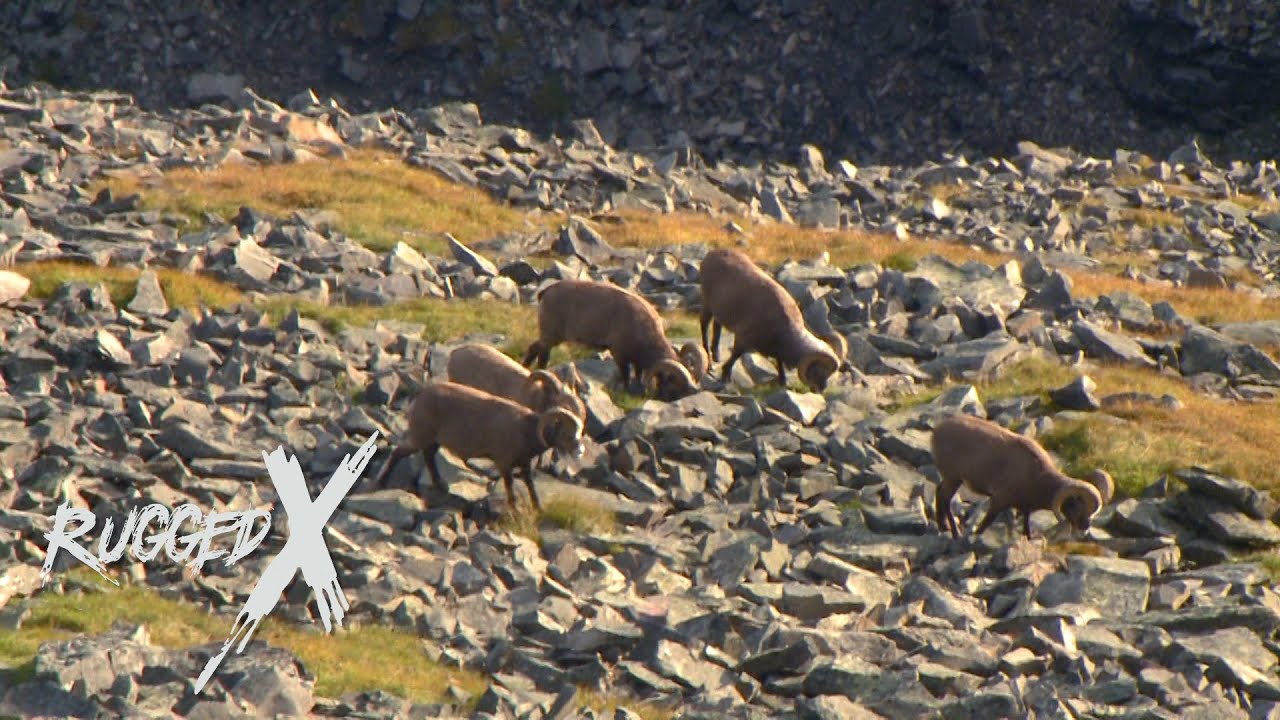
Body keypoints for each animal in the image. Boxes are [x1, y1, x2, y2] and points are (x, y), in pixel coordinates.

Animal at [375, 381, 585, 510]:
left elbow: (531, 486)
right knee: (399, 453)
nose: (580, 451)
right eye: (567, 434)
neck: (526, 429)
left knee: (428, 456)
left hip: (433, 442)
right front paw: (515, 510)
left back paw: (440, 486)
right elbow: (510, 487)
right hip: (420, 438)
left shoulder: (524, 465)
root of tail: (421, 395)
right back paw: (381, 483)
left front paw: (538, 508)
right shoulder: (504, 464)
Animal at [521, 279, 698, 401]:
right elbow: (625, 375)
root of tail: (545, 292)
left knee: (534, 348)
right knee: (542, 354)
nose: (691, 394)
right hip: (550, 336)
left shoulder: (636, 360)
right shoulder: (619, 353)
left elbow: (638, 374)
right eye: (675, 382)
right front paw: (627, 391)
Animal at [699, 248, 845, 391]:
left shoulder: (775, 349)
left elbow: (779, 362)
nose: (822, 389)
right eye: (820, 370)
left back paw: (716, 355)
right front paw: (725, 377)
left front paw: (783, 381)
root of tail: (711, 255)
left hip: (719, 311)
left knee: (717, 326)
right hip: (707, 305)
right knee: (704, 328)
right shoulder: (742, 339)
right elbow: (735, 356)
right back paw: (710, 365)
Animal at [930, 413, 1114, 539]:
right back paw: (954, 532)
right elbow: (985, 523)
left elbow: (1026, 527)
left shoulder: (1025, 508)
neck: (1037, 476)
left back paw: (943, 527)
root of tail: (938, 430)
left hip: (951, 479)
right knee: (945, 498)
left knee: (939, 492)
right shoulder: (999, 501)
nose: (1085, 529)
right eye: (1078, 506)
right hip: (953, 479)